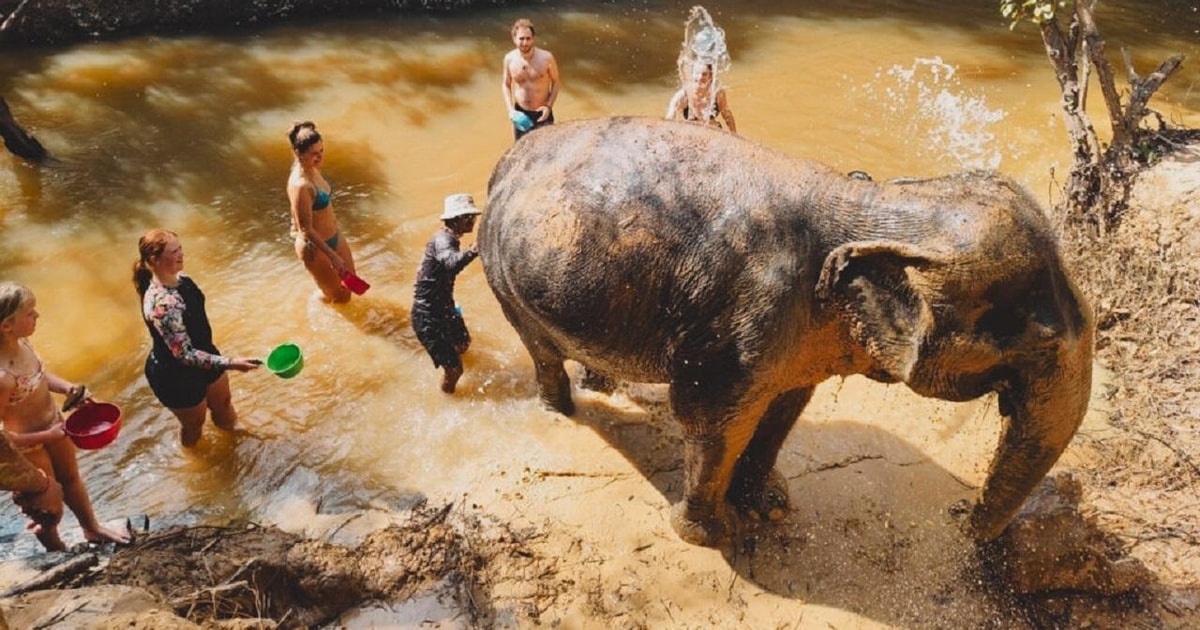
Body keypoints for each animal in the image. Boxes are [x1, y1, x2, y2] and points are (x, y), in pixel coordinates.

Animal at [479, 117, 1094, 548]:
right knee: (539, 350)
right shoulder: (739, 324)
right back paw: (562, 411)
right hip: (502, 277)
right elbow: (711, 417)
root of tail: (507, 159)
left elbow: (786, 405)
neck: (872, 204)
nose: (958, 516)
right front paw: (707, 534)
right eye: (1041, 343)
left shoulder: (803, 337)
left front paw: (769, 505)